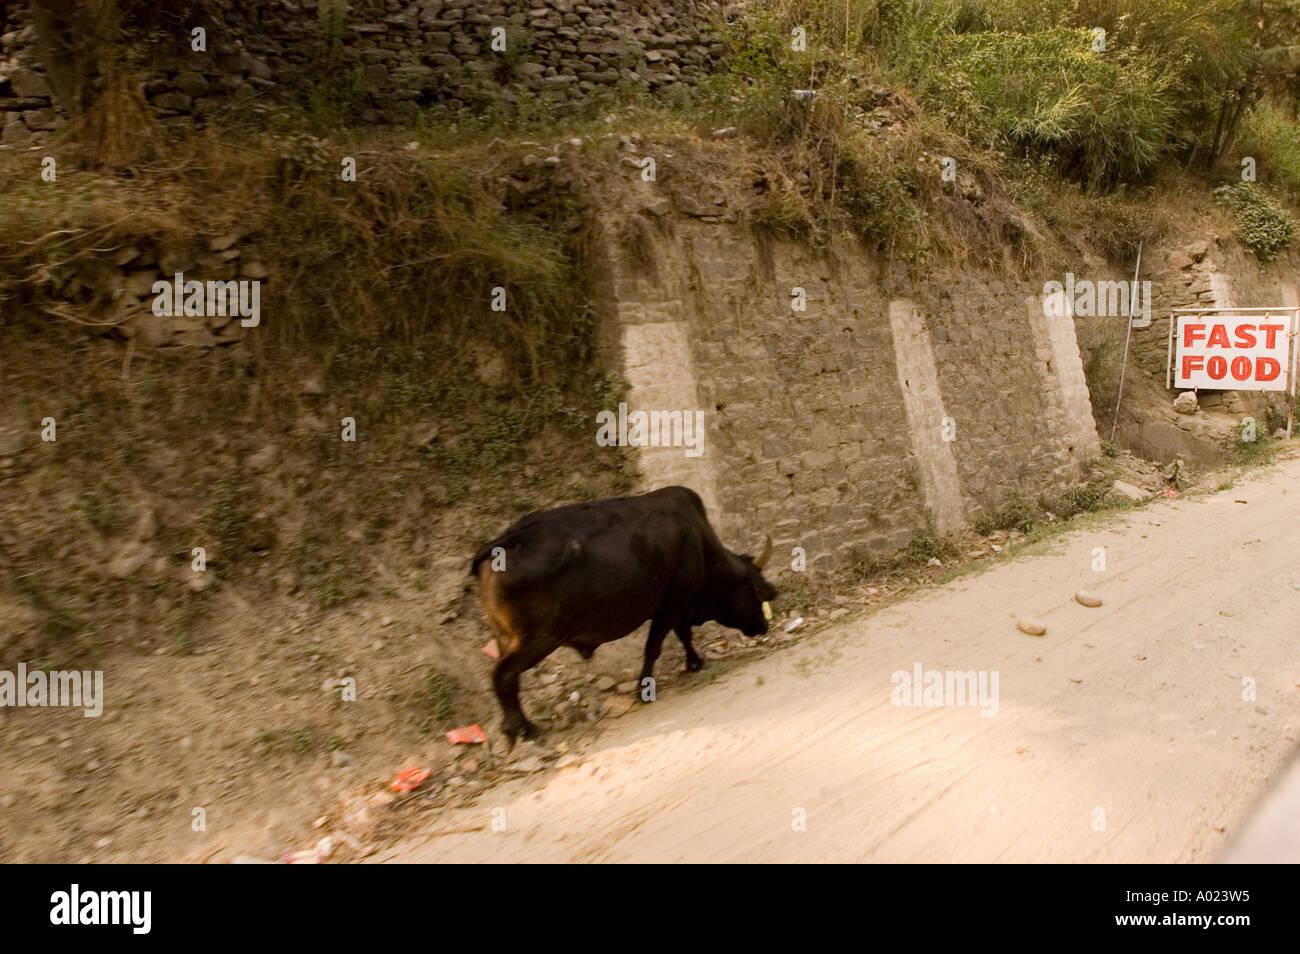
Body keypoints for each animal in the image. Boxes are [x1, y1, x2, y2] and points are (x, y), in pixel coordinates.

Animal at [470, 486, 777, 744]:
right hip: (538, 639)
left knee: (509, 681)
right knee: (503, 675)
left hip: (505, 638)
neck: (701, 541)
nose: (763, 626)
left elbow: (682, 635)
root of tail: (506, 541)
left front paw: (694, 663)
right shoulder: (673, 602)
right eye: (754, 592)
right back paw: (522, 729)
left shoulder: (677, 605)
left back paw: (519, 726)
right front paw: (645, 689)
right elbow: (656, 646)